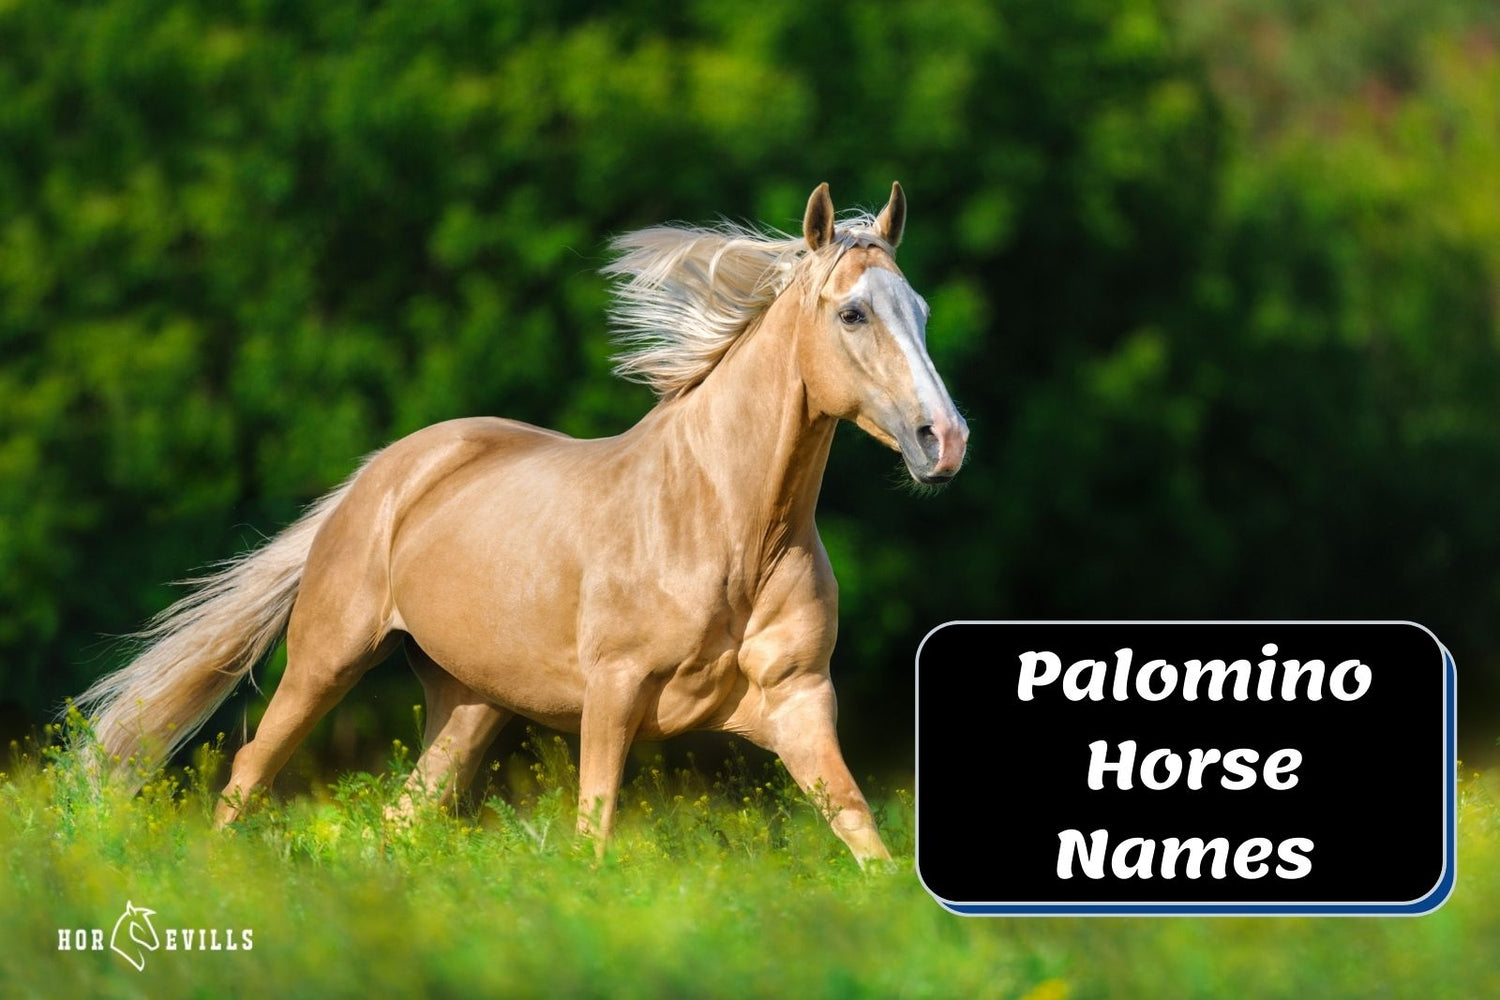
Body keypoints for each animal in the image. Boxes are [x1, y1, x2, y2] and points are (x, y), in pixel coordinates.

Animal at [74, 182, 969, 865]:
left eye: (921, 309)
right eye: (852, 314)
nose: (944, 440)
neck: (729, 530)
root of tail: (382, 473)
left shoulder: (799, 701)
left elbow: (863, 836)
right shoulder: (613, 693)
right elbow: (593, 835)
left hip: (468, 703)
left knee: (403, 813)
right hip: (328, 659)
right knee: (250, 772)